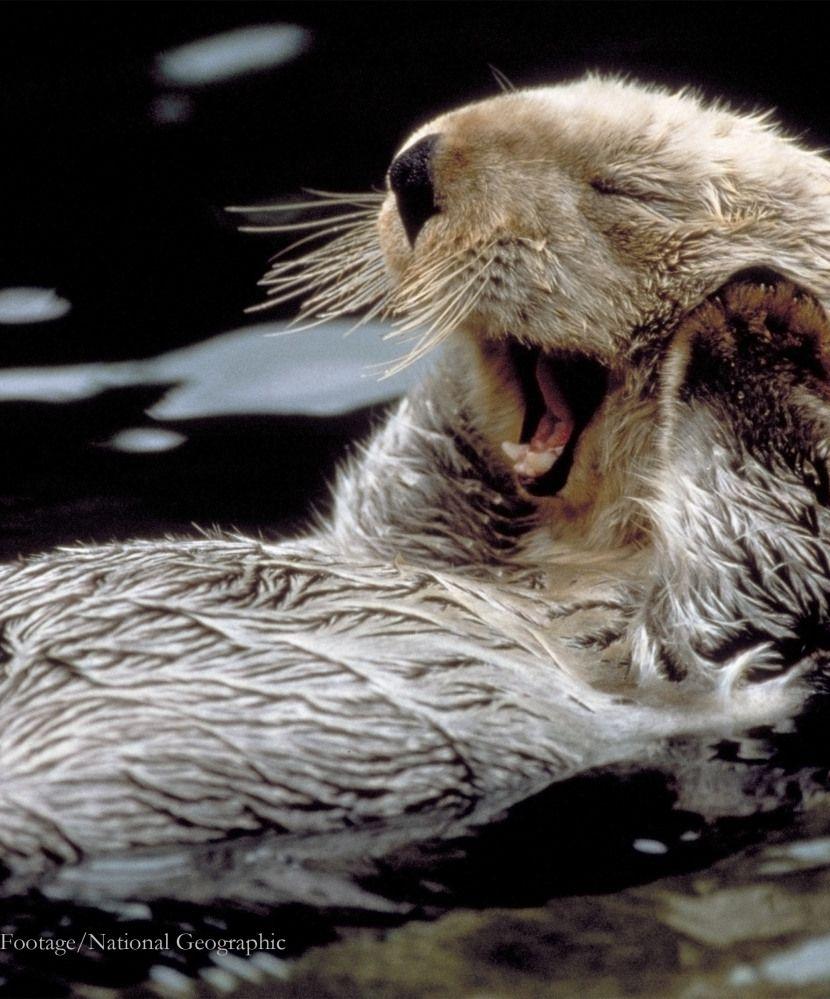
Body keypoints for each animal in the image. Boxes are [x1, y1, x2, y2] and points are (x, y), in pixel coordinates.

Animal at [1, 77, 830, 888]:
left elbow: (750, 575)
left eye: (627, 191)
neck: (570, 553)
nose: (414, 170)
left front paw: (759, 324)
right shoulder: (393, 534)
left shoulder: (699, 655)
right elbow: (399, 492)